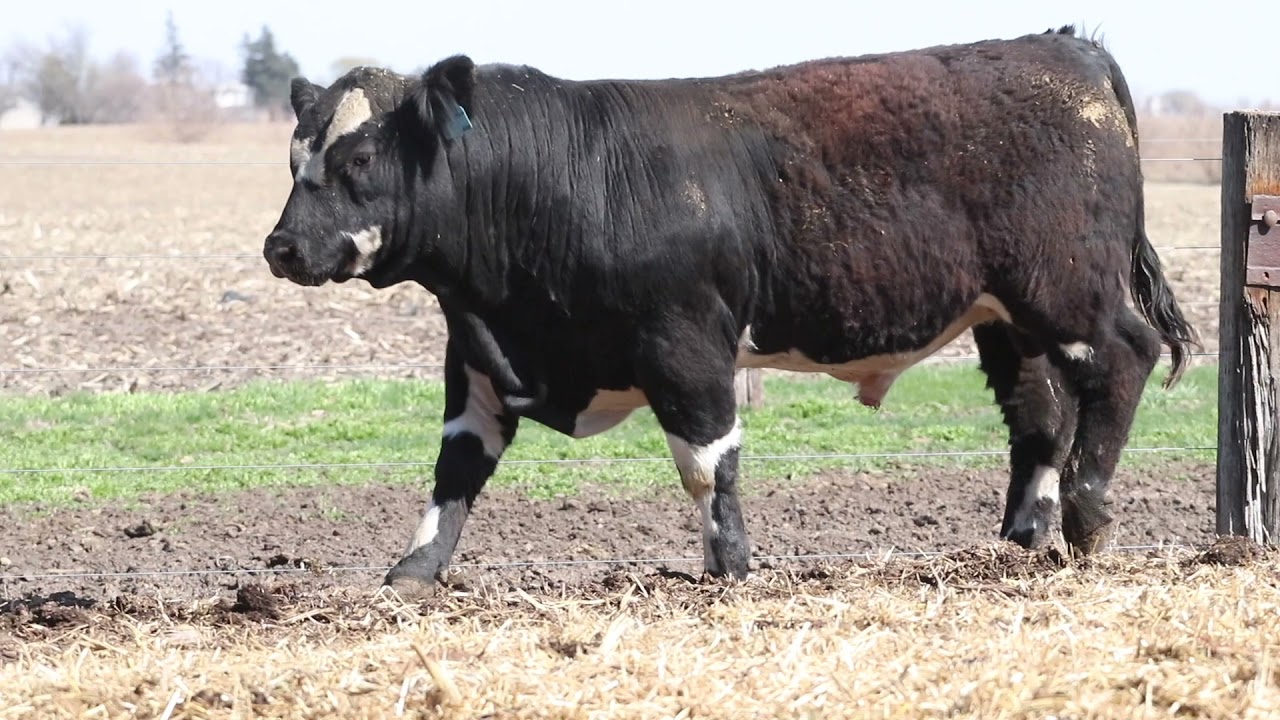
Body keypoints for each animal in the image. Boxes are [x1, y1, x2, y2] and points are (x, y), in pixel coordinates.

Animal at [262, 25, 1196, 591]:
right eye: (295, 156)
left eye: (362, 156)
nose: (282, 248)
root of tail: (1064, 48)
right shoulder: (480, 363)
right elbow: (456, 469)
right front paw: (411, 573)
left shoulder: (687, 346)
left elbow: (708, 462)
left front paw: (730, 566)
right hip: (1009, 320)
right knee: (1039, 417)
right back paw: (1019, 540)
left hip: (1070, 290)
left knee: (1123, 361)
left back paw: (1088, 516)